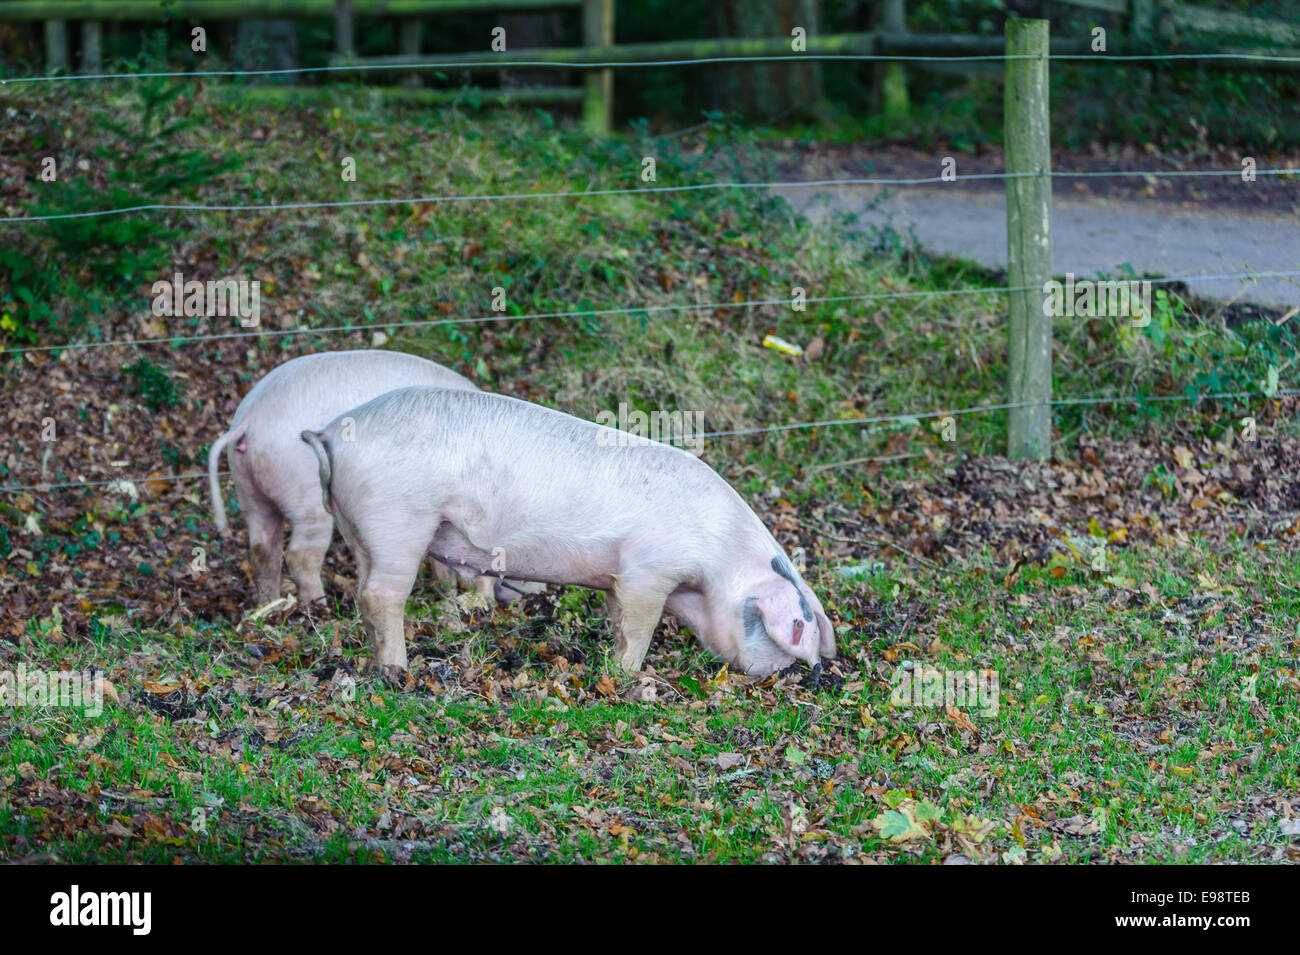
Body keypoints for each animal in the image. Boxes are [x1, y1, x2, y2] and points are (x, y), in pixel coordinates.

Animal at [208, 350, 526, 608]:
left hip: (249, 490)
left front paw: (445, 590)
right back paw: (320, 607)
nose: (516, 601)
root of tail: (250, 419)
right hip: (305, 496)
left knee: (262, 548)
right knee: (298, 554)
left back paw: (269, 605)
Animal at [300, 386, 836, 677]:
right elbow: (640, 626)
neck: (717, 559)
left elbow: (618, 620)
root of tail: (329, 434)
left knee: (364, 592)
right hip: (399, 519)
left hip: (358, 525)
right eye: (785, 632)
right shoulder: (647, 571)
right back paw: (399, 672)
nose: (780, 673)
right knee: (381, 596)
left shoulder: (620, 578)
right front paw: (626, 676)